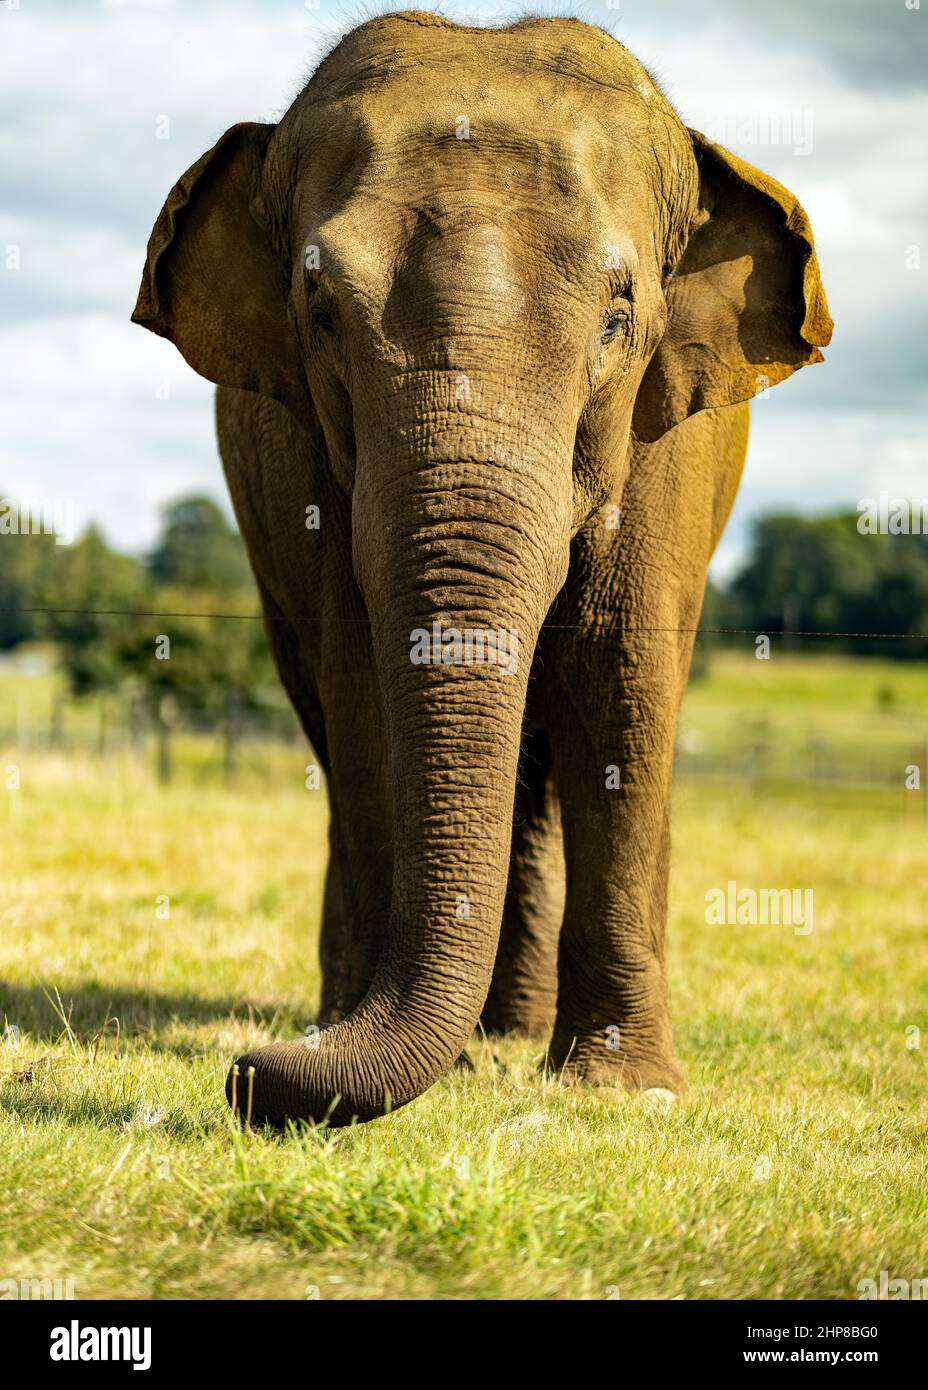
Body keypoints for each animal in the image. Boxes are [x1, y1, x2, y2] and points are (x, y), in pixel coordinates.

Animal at [132, 12, 831, 1128]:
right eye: (319, 310)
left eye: (616, 318)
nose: (244, 1069)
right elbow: (361, 688)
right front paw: (386, 1054)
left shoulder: (665, 447)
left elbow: (623, 683)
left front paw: (625, 1090)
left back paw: (504, 1033)